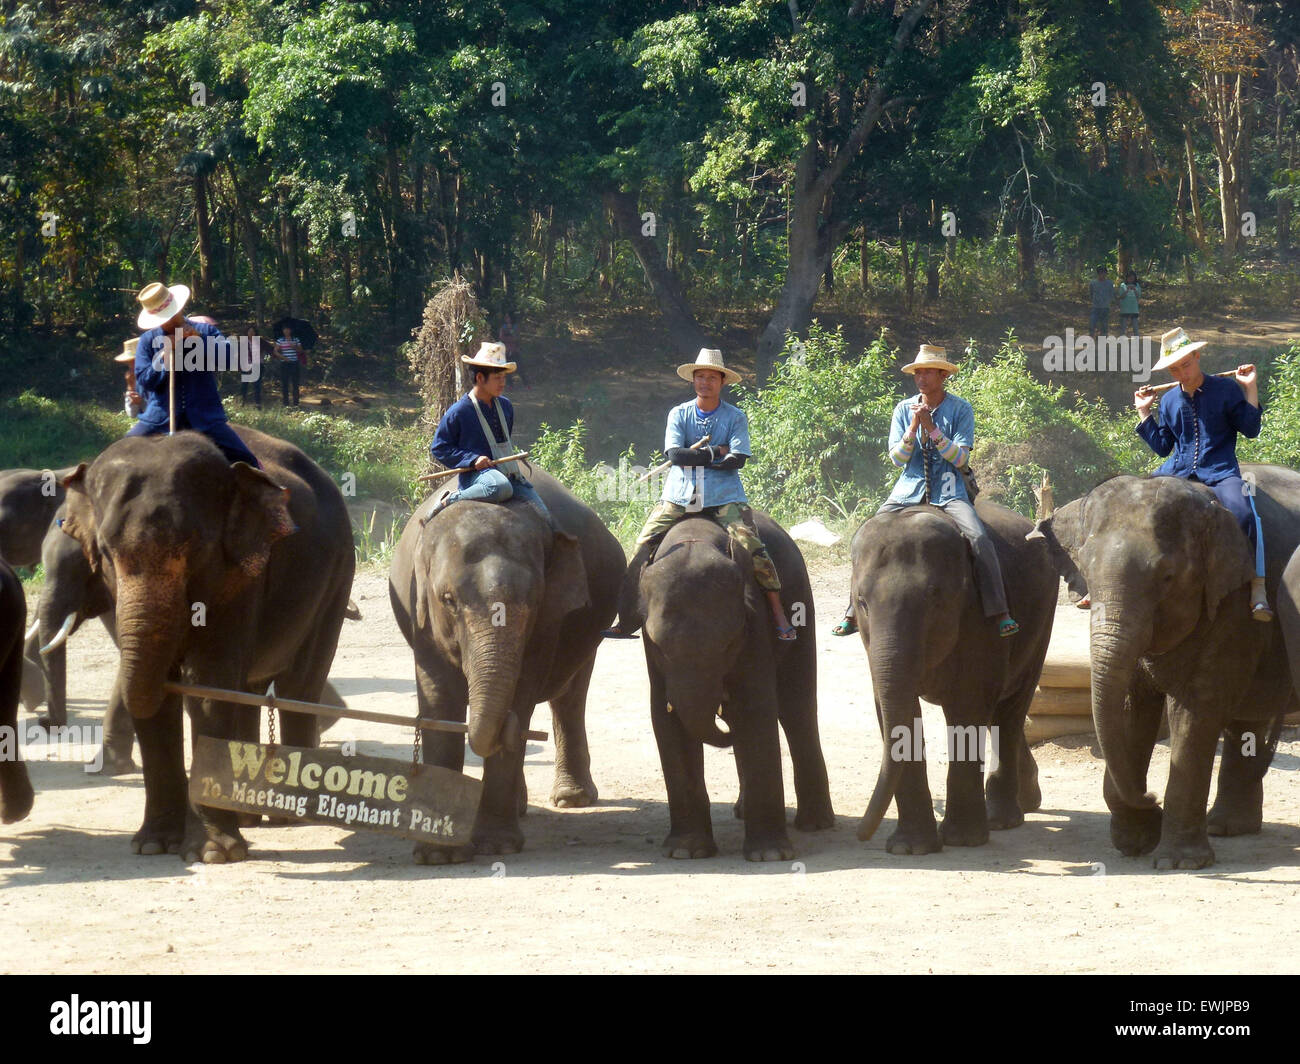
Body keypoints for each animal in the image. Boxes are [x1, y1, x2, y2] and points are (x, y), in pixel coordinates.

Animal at [57, 425, 355, 862]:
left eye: (193, 548)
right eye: (106, 553)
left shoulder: (244, 574)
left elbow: (208, 686)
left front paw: (212, 853)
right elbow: (159, 695)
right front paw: (153, 844)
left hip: (336, 576)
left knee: (299, 685)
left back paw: (291, 815)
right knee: (248, 690)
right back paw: (247, 815)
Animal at [388, 469, 624, 864]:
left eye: (533, 601)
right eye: (447, 600)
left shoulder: (548, 620)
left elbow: (523, 691)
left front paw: (496, 847)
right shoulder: (422, 615)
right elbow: (439, 699)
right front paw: (438, 854)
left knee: (570, 697)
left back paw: (571, 799)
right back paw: (524, 805)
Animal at [631, 512, 834, 861]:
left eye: (728, 643)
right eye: (659, 645)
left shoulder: (756, 622)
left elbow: (755, 709)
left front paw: (770, 856)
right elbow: (665, 717)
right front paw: (685, 852)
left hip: (800, 608)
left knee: (797, 710)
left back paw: (816, 824)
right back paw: (742, 810)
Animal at [854, 499, 1055, 854]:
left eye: (934, 599)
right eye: (862, 602)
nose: (859, 834)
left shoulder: (979, 617)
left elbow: (968, 705)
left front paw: (963, 840)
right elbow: (895, 709)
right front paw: (910, 849)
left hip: (1041, 618)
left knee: (1011, 707)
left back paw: (1001, 819)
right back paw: (1027, 800)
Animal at [1030, 466, 1300, 869]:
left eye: (1167, 578)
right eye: (1087, 572)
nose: (1151, 797)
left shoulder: (1234, 607)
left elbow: (1194, 710)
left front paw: (1179, 862)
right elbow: (1129, 709)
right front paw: (1136, 841)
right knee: (1246, 720)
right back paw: (1227, 828)